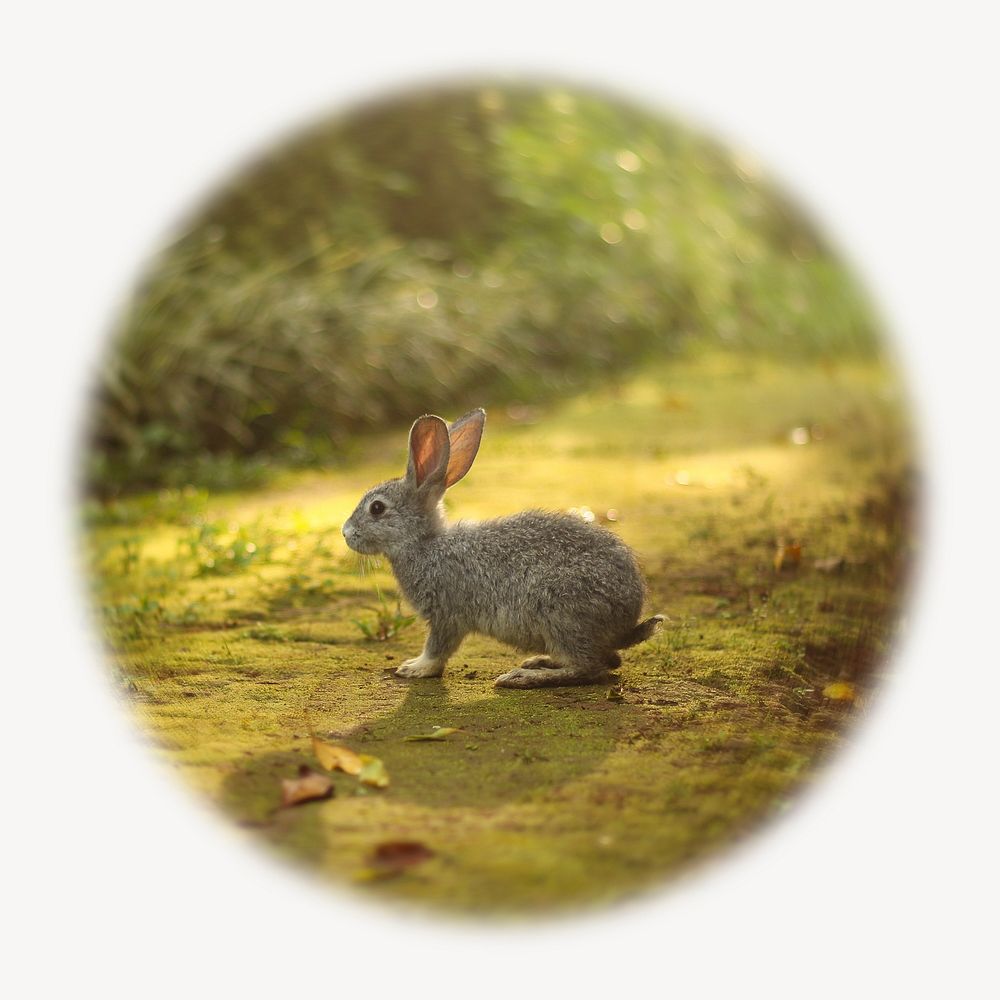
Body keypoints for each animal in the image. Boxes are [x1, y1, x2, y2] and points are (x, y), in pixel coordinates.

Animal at [341, 408, 663, 688]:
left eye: (377, 508)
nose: (346, 533)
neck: (424, 544)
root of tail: (627, 621)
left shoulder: (447, 613)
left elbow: (438, 648)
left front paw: (415, 668)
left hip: (562, 614)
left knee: (591, 667)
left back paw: (524, 677)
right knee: (608, 660)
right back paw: (539, 661)